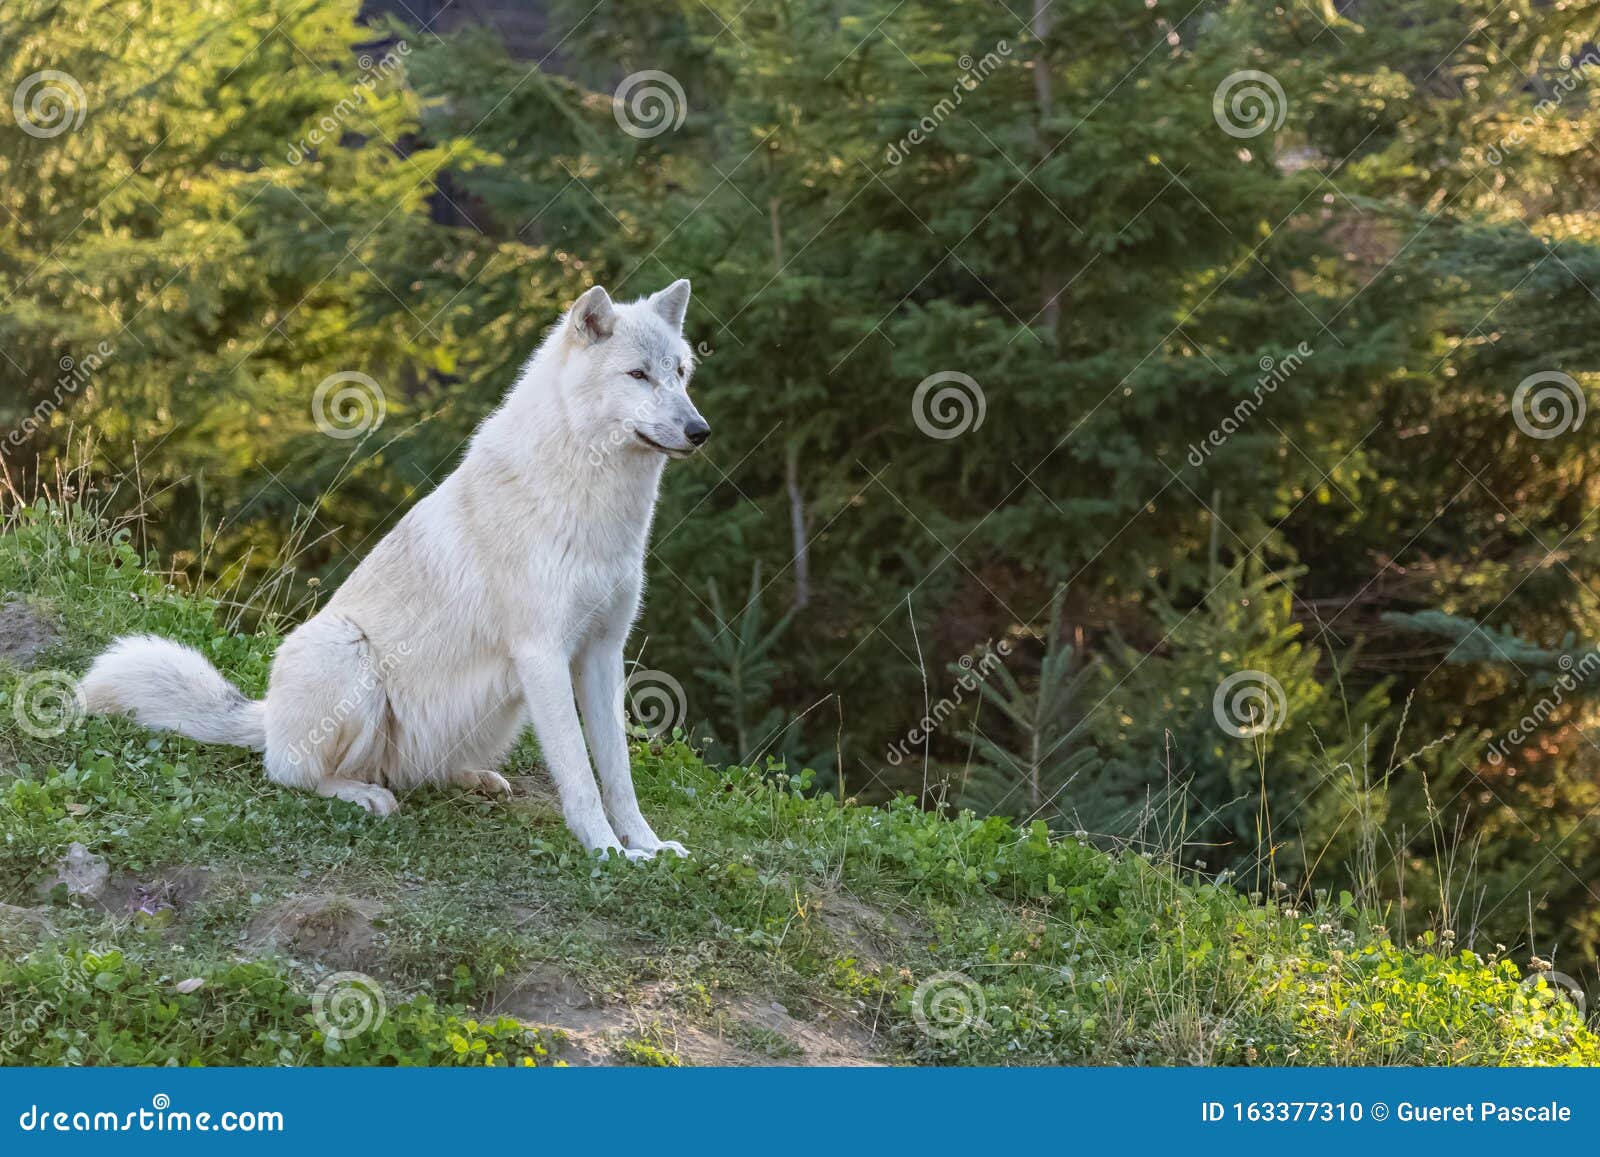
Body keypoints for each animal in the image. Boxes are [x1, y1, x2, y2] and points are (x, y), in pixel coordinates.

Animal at [80, 280, 709, 861]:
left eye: (679, 373)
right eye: (637, 375)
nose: (700, 431)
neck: (592, 500)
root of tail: (268, 717)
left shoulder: (601, 653)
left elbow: (618, 776)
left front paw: (649, 847)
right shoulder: (544, 654)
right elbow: (580, 777)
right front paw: (608, 854)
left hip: (499, 710)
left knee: (422, 771)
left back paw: (474, 780)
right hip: (350, 658)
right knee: (291, 774)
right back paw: (364, 795)